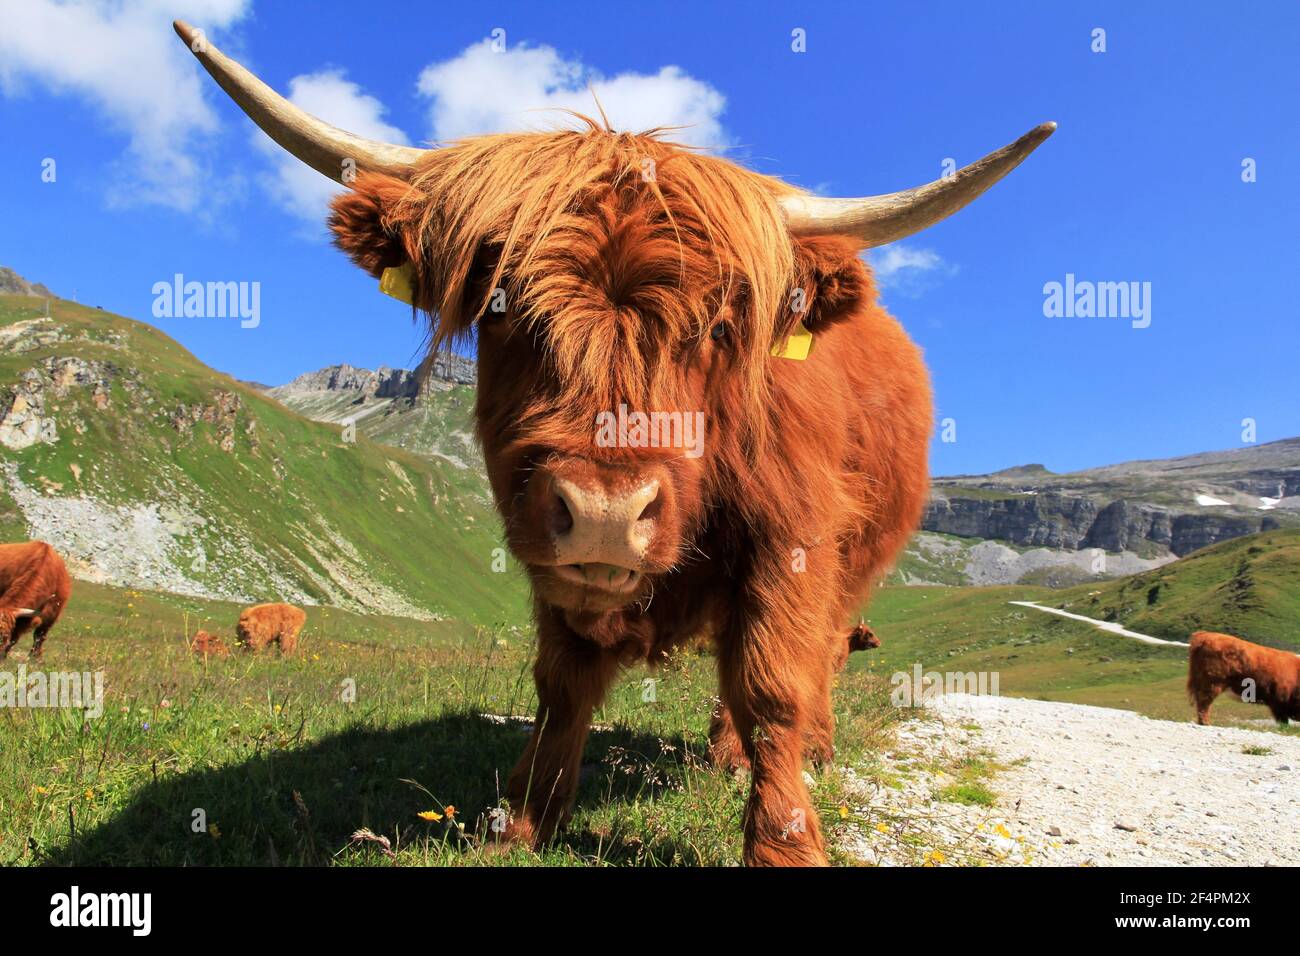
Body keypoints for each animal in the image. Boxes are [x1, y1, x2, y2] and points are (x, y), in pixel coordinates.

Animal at [175, 21, 1052, 866]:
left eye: (718, 326)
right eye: (502, 305)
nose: (603, 514)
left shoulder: (791, 538)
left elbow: (773, 685)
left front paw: (785, 843)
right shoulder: (550, 556)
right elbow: (562, 683)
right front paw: (524, 820)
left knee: (808, 662)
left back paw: (788, 753)